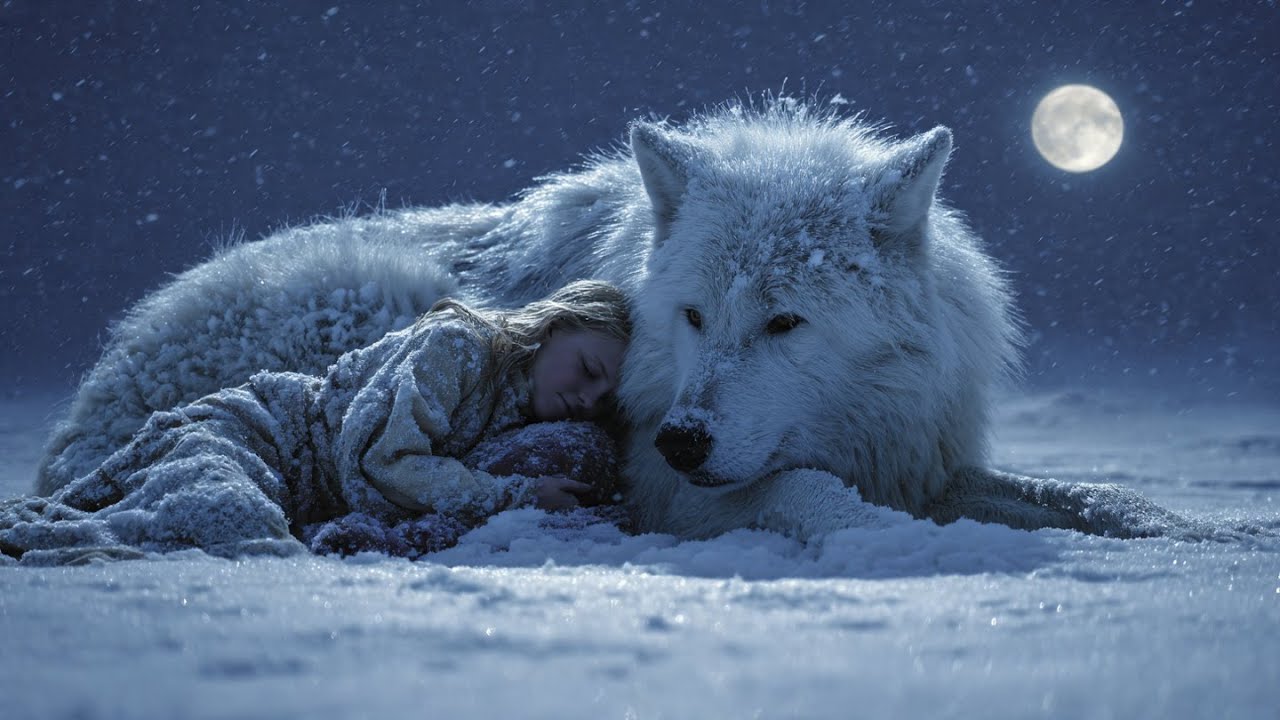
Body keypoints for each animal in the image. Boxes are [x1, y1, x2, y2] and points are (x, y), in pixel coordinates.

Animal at [36, 99, 1196, 541]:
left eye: (784, 324)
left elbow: (1095, 500)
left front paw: (1199, 536)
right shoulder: (666, 490)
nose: (682, 436)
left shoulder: (922, 457)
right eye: (690, 316)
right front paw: (884, 544)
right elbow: (810, 494)